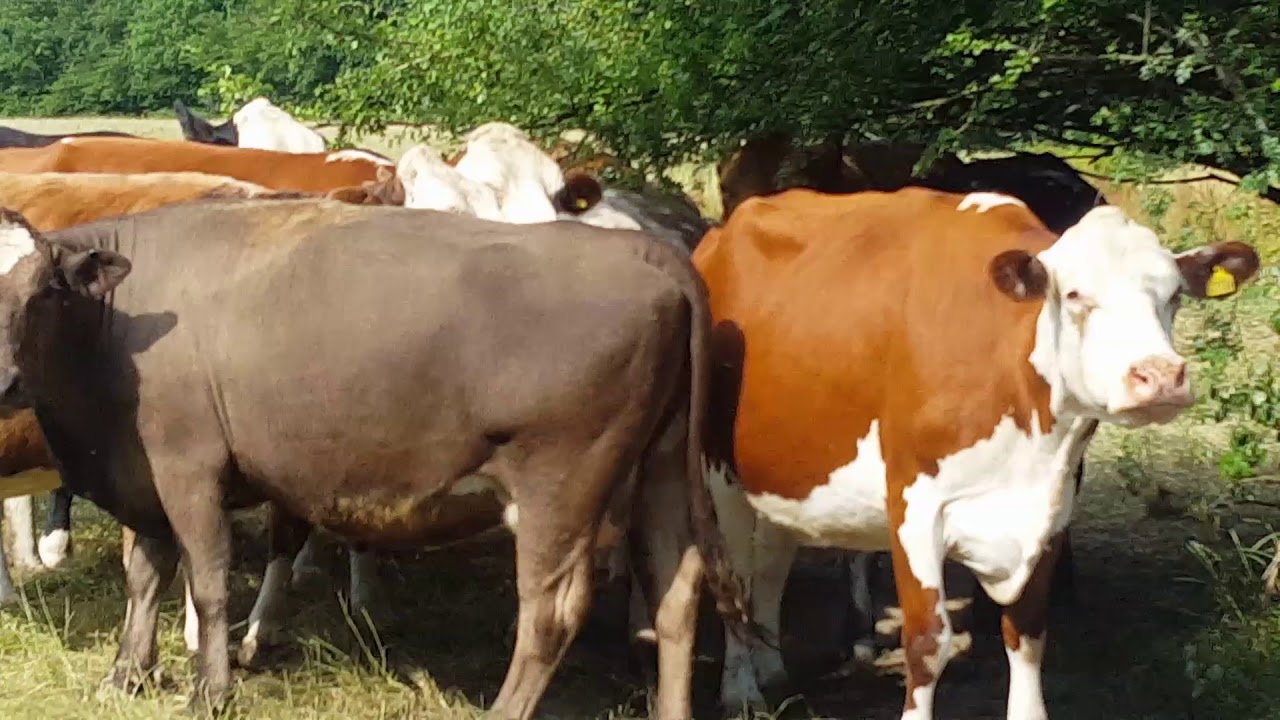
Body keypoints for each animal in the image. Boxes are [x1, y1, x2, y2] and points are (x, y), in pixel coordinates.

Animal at [0, 196, 751, 719]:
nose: (3, 378)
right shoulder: (142, 478)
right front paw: (126, 674)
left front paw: (208, 690)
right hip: (658, 472)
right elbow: (145, 576)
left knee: (550, 612)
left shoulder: (190, 469)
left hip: (561, 484)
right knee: (676, 597)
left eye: (41, 291)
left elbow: (207, 582)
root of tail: (641, 248)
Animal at [691, 187, 1259, 718]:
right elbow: (926, 641)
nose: (1160, 376)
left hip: (783, 473)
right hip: (719, 474)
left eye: (1174, 295)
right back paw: (741, 691)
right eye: (1075, 294)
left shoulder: (1051, 511)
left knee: (770, 564)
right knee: (734, 575)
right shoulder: (914, 505)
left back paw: (773, 671)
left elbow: (1027, 633)